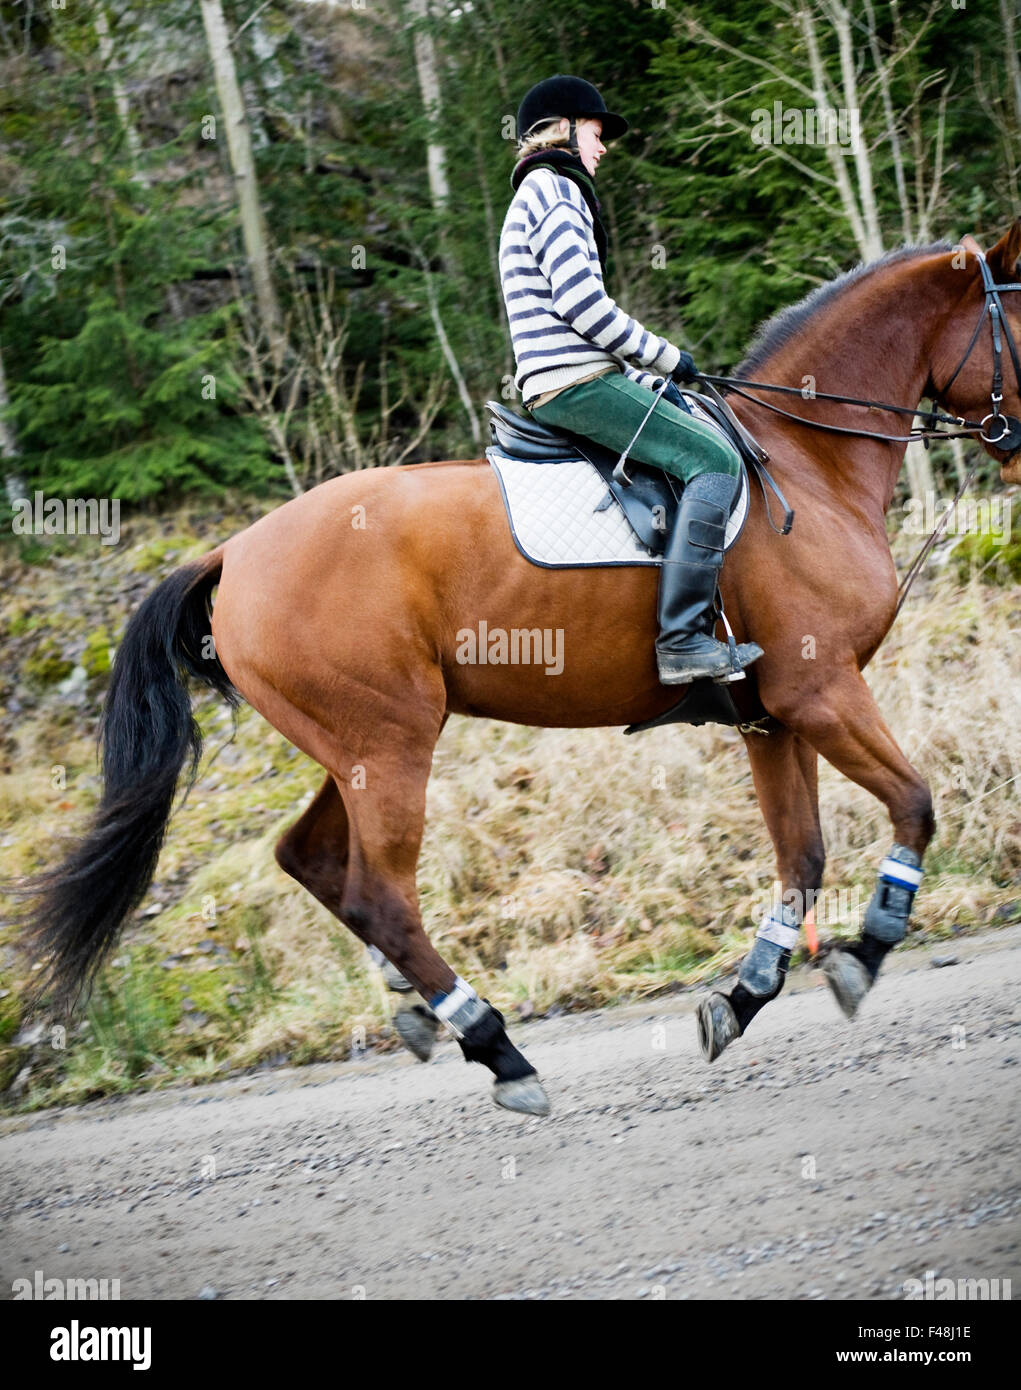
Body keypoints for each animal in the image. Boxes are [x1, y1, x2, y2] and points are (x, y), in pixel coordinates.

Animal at [16, 222, 1021, 1118]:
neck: (807, 461)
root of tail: (232, 552)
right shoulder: (822, 693)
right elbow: (913, 805)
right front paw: (866, 951)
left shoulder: (770, 715)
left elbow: (801, 859)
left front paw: (743, 999)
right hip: (389, 743)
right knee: (380, 896)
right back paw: (495, 1046)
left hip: (353, 748)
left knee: (311, 859)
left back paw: (417, 1009)